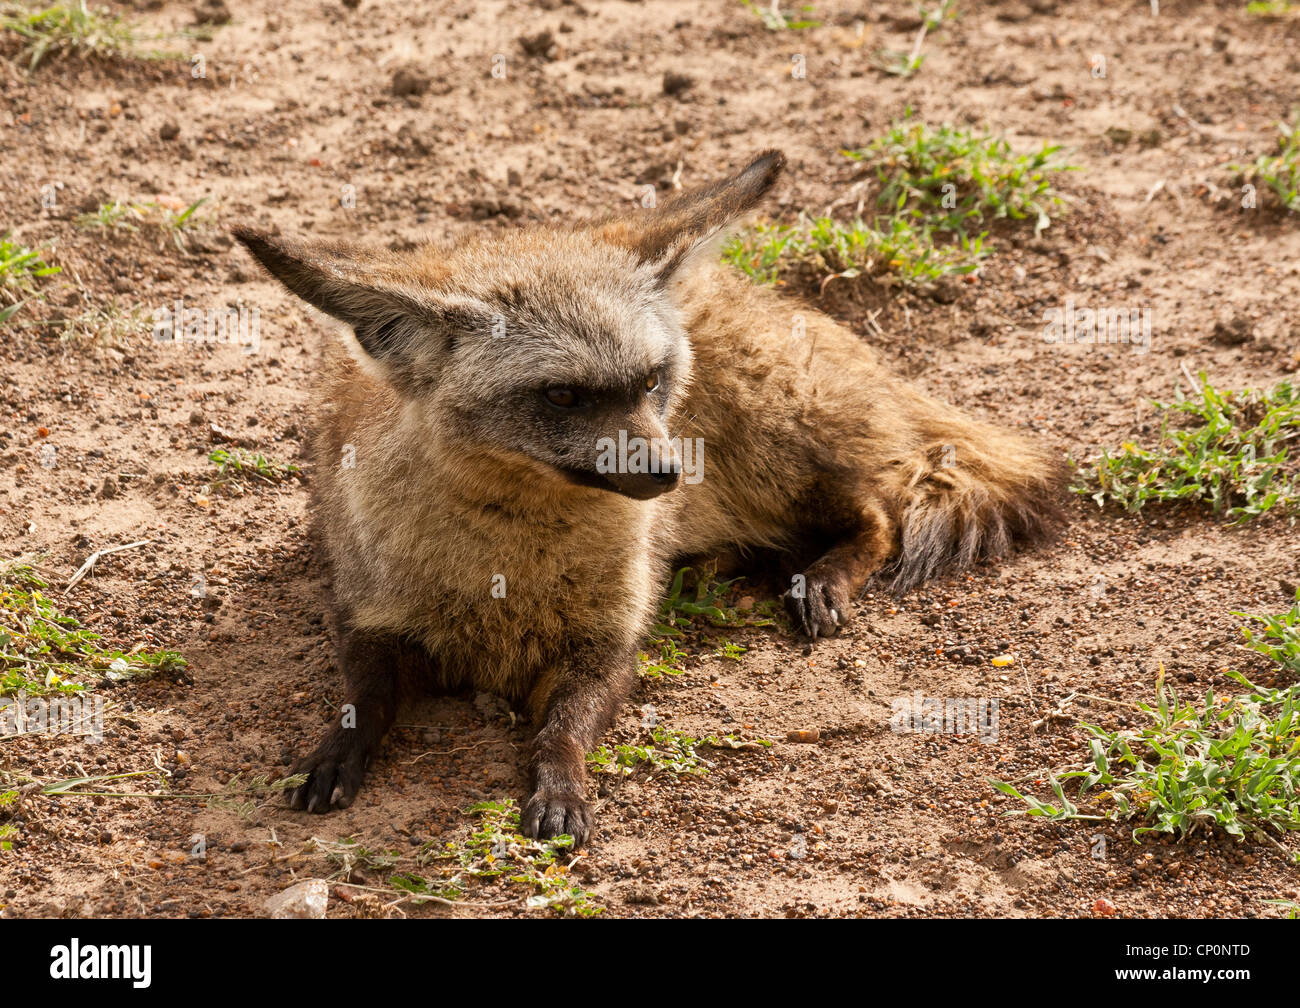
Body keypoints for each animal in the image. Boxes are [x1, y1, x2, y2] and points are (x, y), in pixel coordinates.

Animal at [233, 150, 1064, 847]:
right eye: (563, 396)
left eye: (651, 381)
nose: (669, 474)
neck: (508, 572)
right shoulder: (369, 613)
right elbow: (362, 699)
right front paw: (337, 752)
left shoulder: (608, 643)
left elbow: (562, 731)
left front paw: (561, 788)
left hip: (776, 454)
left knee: (881, 513)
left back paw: (820, 577)